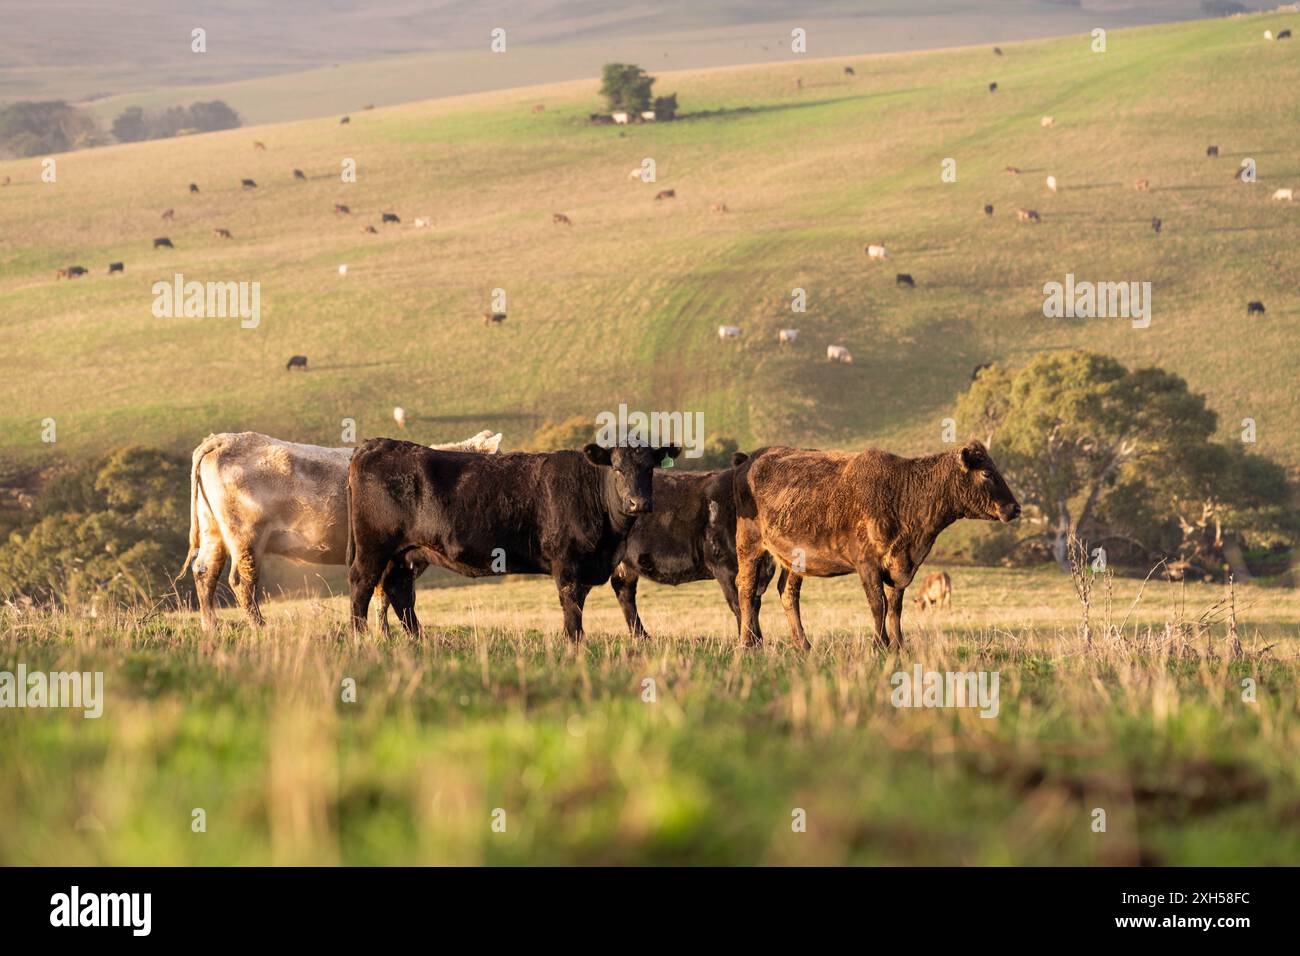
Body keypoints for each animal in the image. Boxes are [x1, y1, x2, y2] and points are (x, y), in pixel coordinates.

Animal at [180, 430, 502, 630]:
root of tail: (224, 439)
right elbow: (390, 595)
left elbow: (382, 596)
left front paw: (383, 634)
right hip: (245, 535)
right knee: (241, 581)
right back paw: (259, 626)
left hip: (213, 531)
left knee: (205, 572)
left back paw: (211, 626)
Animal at [345, 439, 680, 639]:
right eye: (617, 468)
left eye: (650, 468)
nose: (639, 503)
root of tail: (377, 444)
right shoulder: (567, 564)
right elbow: (571, 608)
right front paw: (575, 645)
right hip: (374, 547)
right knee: (362, 585)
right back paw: (359, 636)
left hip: (403, 553)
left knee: (397, 591)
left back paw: (419, 639)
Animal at [610, 458, 776, 640]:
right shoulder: (725, 566)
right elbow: (740, 604)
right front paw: (749, 641)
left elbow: (753, 604)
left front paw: (756, 639)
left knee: (624, 591)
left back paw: (642, 637)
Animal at [732, 440, 1020, 649]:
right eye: (986, 473)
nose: (1014, 508)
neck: (903, 489)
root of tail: (750, 460)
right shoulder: (867, 564)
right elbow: (878, 603)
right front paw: (880, 645)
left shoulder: (900, 566)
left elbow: (895, 607)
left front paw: (899, 645)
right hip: (750, 546)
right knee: (746, 590)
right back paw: (747, 645)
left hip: (794, 560)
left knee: (788, 593)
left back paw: (804, 646)